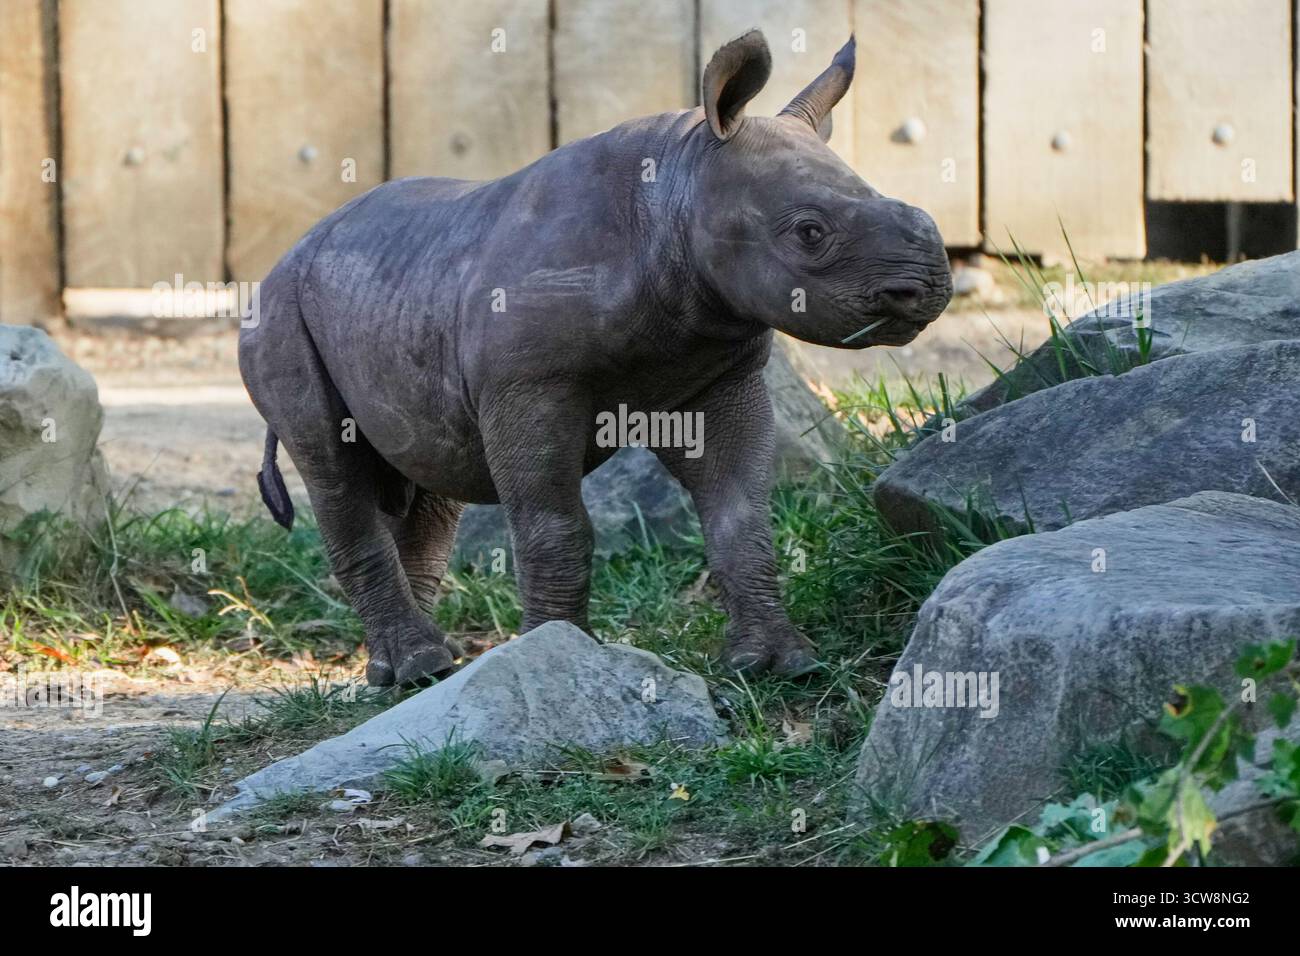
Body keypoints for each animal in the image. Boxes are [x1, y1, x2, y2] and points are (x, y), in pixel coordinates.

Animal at [239, 30, 952, 687]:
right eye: (809, 233)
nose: (929, 285)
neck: (676, 195)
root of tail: (284, 257)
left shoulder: (716, 368)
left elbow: (739, 514)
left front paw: (780, 666)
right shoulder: (529, 382)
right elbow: (556, 525)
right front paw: (556, 659)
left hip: (396, 285)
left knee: (426, 478)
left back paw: (415, 676)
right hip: (277, 318)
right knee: (332, 464)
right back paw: (416, 670)